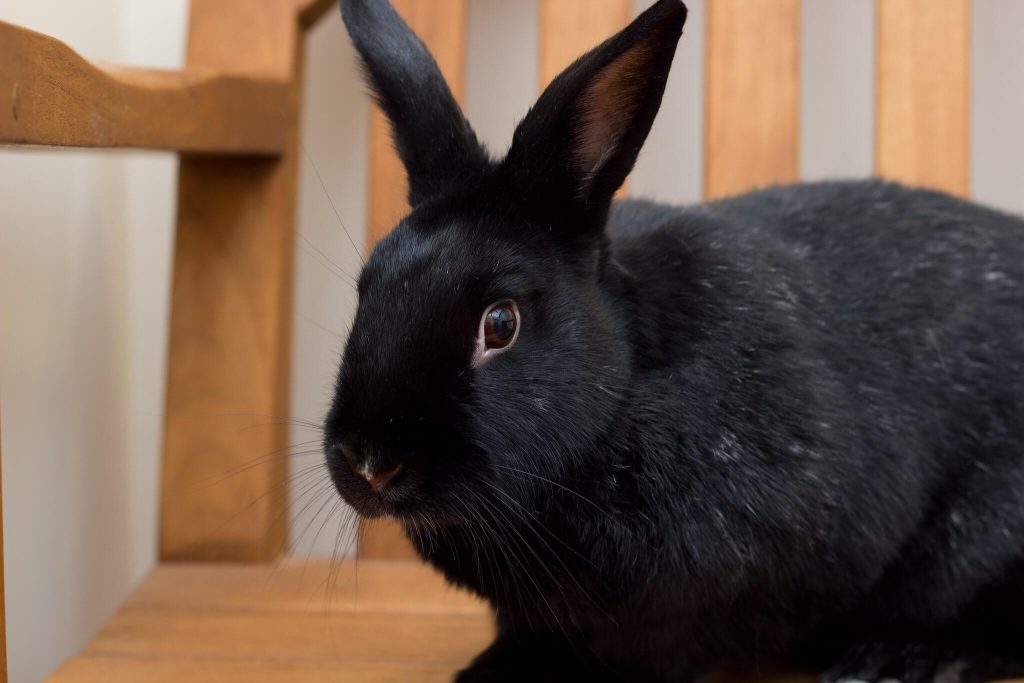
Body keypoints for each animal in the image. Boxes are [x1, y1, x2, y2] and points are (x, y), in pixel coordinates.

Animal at [323, 0, 1024, 681]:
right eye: (364, 289)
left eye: (500, 324)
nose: (372, 463)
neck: (628, 391)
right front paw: (492, 669)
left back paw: (898, 659)